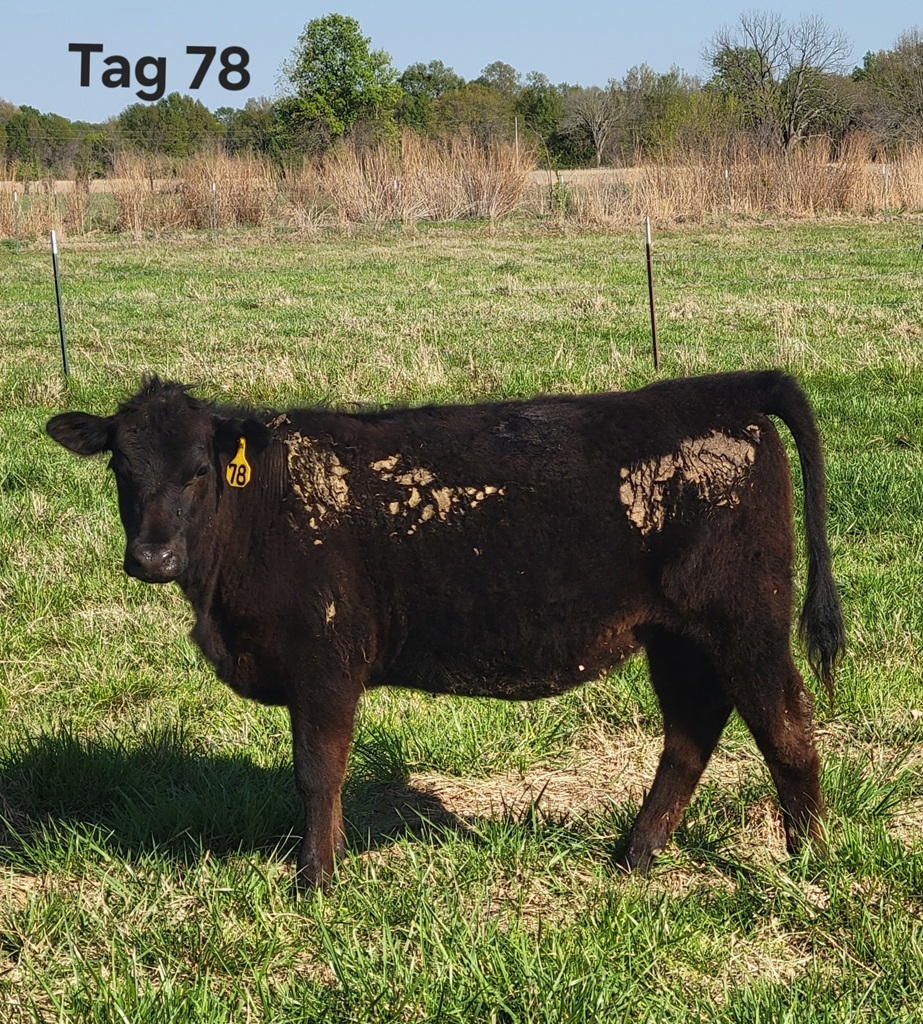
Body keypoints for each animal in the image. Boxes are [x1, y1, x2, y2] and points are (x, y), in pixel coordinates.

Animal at [46, 369, 845, 889]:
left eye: (198, 471)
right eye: (122, 467)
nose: (152, 557)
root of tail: (721, 390)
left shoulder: (325, 660)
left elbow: (317, 772)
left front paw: (316, 878)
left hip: (744, 622)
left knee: (783, 726)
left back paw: (808, 861)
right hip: (677, 637)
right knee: (690, 731)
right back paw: (634, 856)